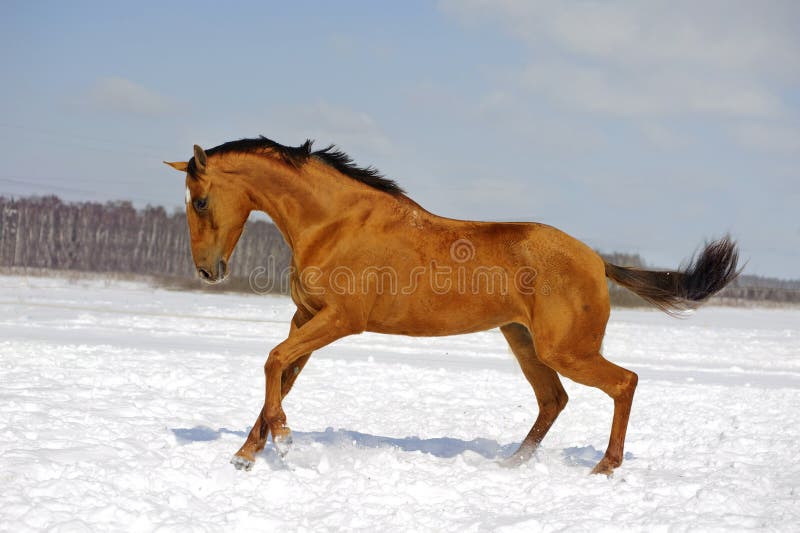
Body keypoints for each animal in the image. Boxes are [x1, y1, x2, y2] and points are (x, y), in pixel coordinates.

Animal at [165, 137, 739, 475]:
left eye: (200, 200)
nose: (208, 271)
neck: (335, 223)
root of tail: (597, 260)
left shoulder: (340, 320)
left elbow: (273, 362)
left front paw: (282, 442)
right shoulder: (305, 317)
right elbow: (281, 375)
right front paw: (246, 454)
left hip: (566, 348)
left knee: (623, 382)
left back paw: (604, 467)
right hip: (524, 341)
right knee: (553, 399)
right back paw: (511, 465)